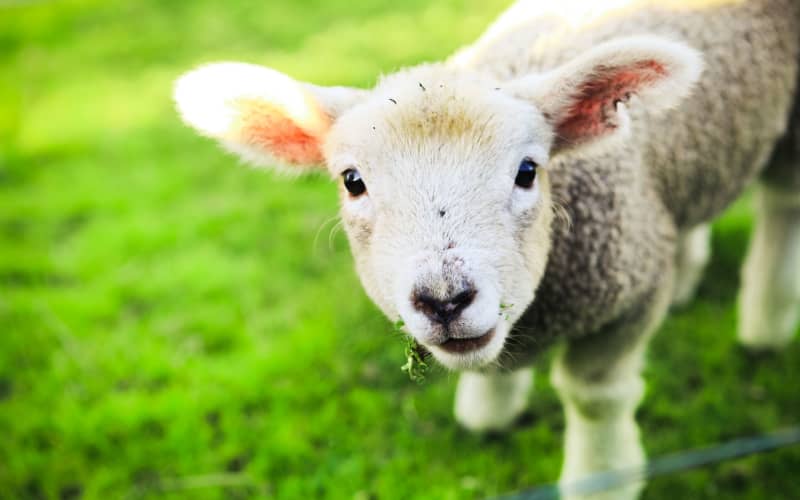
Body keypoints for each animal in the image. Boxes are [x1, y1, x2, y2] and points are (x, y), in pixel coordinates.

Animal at [173, 0, 800, 498]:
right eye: (352, 181)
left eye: (528, 171)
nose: (444, 300)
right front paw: (488, 413)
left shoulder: (628, 297)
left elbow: (596, 398)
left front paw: (601, 479)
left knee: (782, 205)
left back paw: (765, 324)